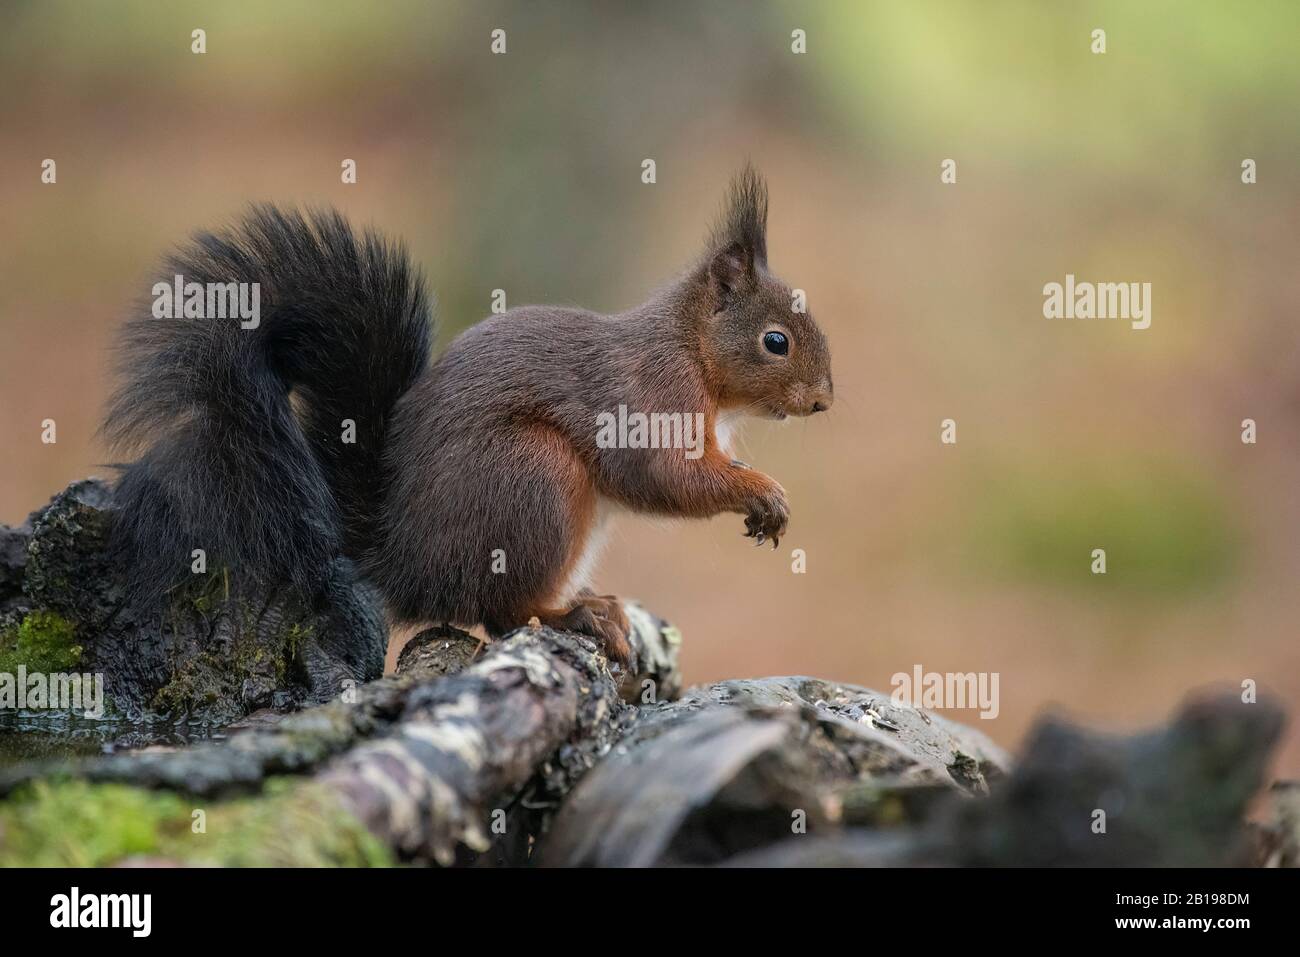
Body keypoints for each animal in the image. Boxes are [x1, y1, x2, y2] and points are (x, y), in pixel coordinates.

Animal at [103, 165, 833, 667]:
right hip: (534, 478)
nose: (824, 400)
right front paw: (761, 492)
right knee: (503, 613)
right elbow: (665, 476)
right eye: (775, 340)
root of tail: (403, 561)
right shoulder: (650, 395)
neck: (693, 352)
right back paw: (577, 615)